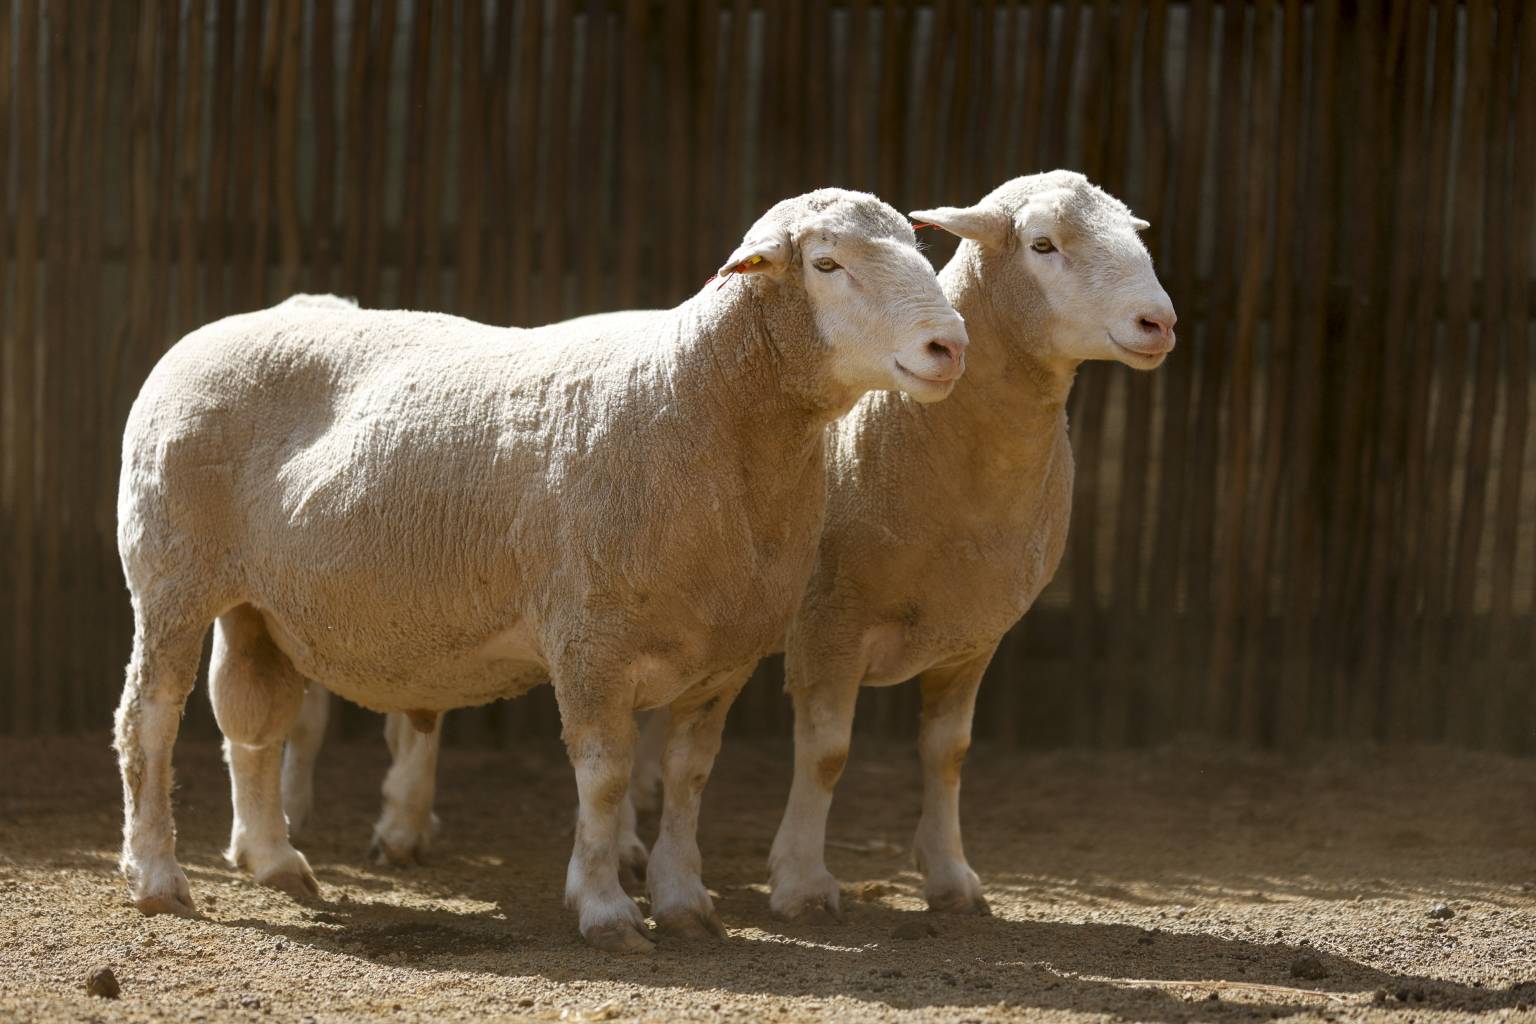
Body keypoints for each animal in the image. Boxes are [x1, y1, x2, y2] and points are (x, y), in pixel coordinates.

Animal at [113, 188, 969, 952]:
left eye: (917, 248)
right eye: (826, 263)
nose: (950, 346)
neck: (697, 400)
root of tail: (219, 329)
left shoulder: (724, 657)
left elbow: (688, 777)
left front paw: (684, 901)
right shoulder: (592, 636)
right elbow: (606, 776)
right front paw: (605, 909)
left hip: (256, 605)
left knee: (253, 723)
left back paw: (274, 860)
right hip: (170, 574)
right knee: (150, 718)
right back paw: (157, 875)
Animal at [768, 171, 1177, 920]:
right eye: (1043, 245)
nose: (1158, 323)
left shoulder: (973, 636)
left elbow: (947, 753)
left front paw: (951, 876)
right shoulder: (827, 623)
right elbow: (827, 754)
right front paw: (803, 884)